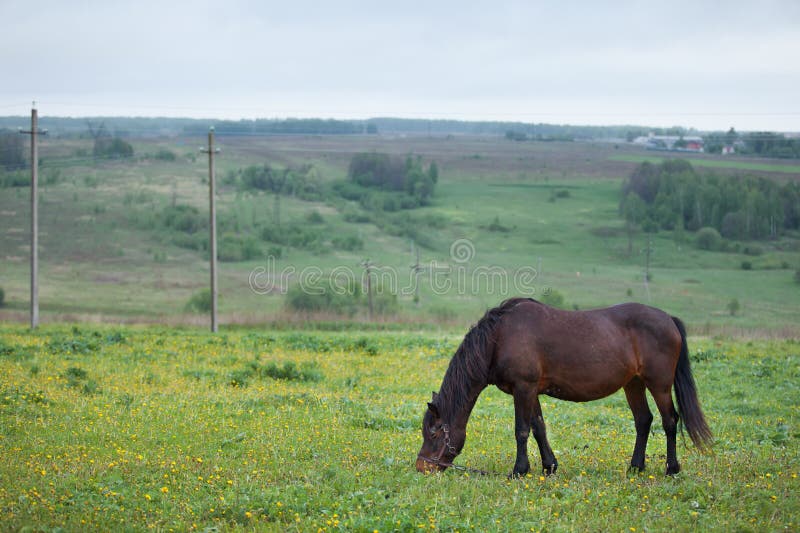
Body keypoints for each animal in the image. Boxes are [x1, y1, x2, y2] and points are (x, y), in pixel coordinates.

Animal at [416, 298, 712, 477]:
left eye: (434, 432)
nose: (421, 466)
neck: (499, 337)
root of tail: (669, 319)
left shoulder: (523, 388)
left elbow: (521, 430)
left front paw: (519, 470)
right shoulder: (531, 391)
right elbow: (538, 428)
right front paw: (549, 466)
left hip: (659, 384)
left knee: (669, 421)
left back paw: (671, 468)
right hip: (634, 384)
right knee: (643, 421)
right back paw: (636, 467)